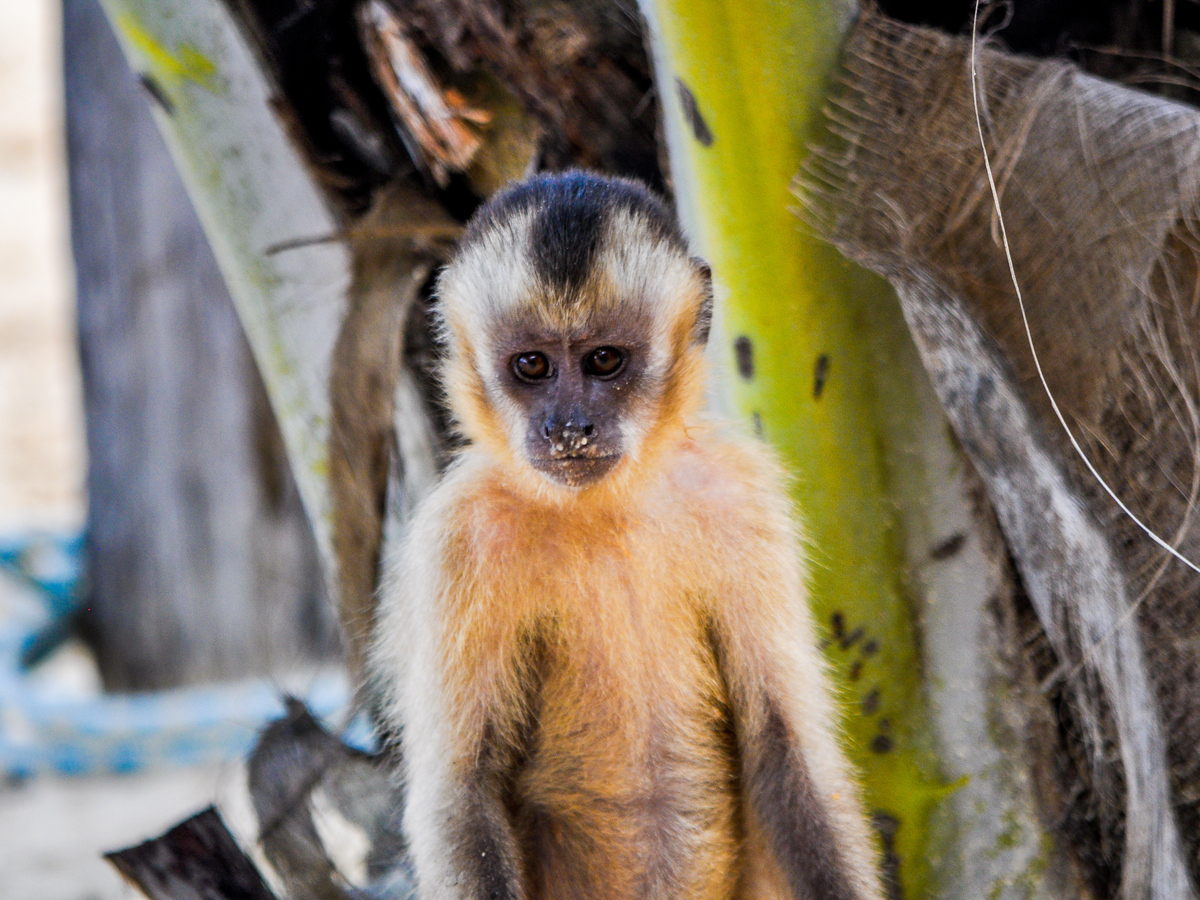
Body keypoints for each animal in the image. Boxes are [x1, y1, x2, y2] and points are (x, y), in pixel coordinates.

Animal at [369, 170, 885, 900]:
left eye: (604, 360)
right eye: (533, 366)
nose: (568, 428)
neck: (604, 507)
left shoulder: (742, 497)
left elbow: (786, 751)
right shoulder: (456, 538)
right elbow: (462, 795)